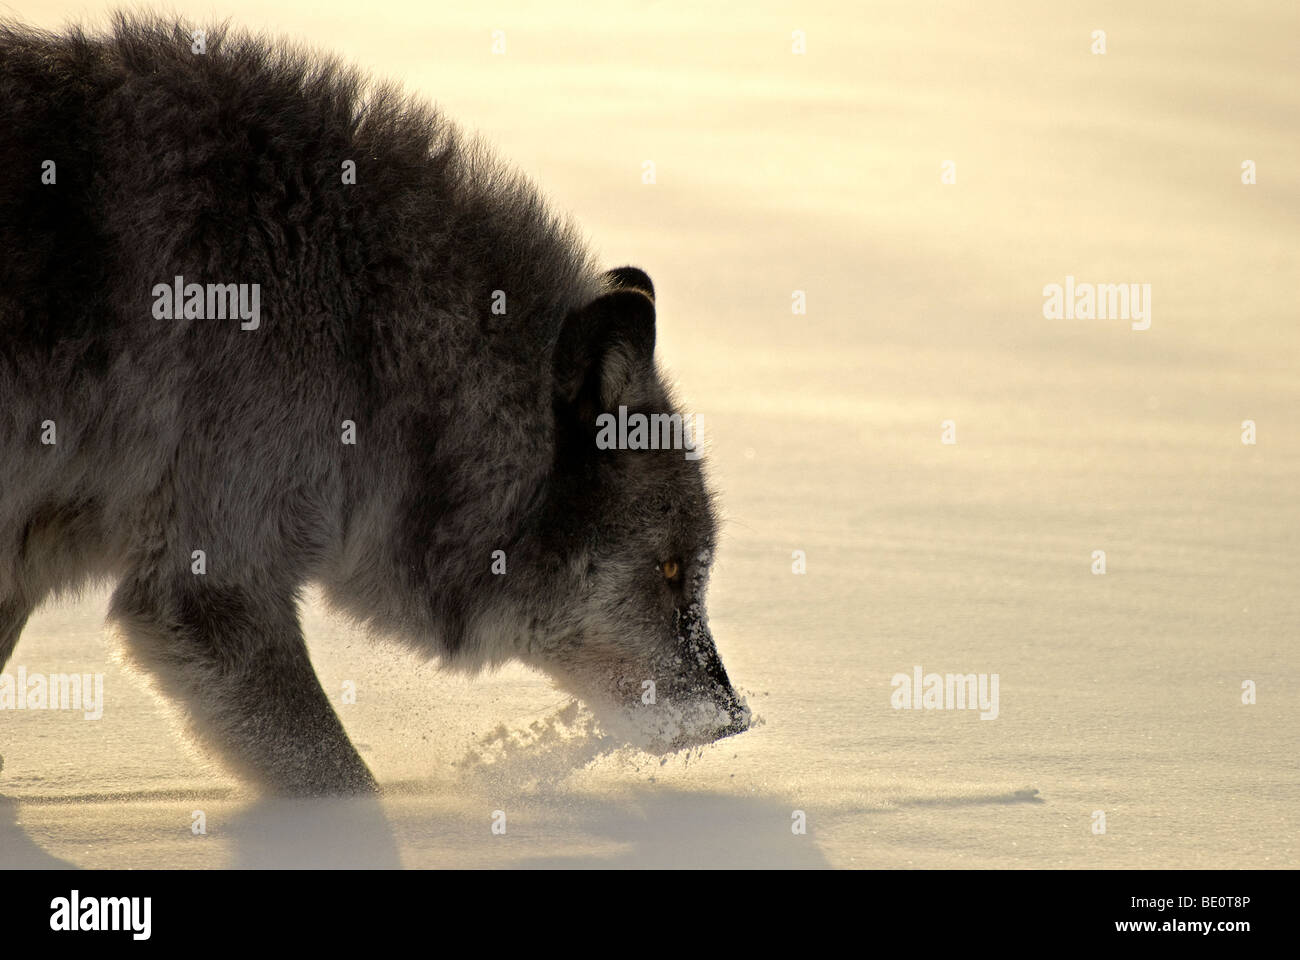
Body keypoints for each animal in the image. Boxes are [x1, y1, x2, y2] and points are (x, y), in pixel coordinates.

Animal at [0, 14, 749, 794]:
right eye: (671, 571)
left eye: (693, 572)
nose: (736, 717)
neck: (363, 328)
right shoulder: (214, 586)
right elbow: (341, 778)